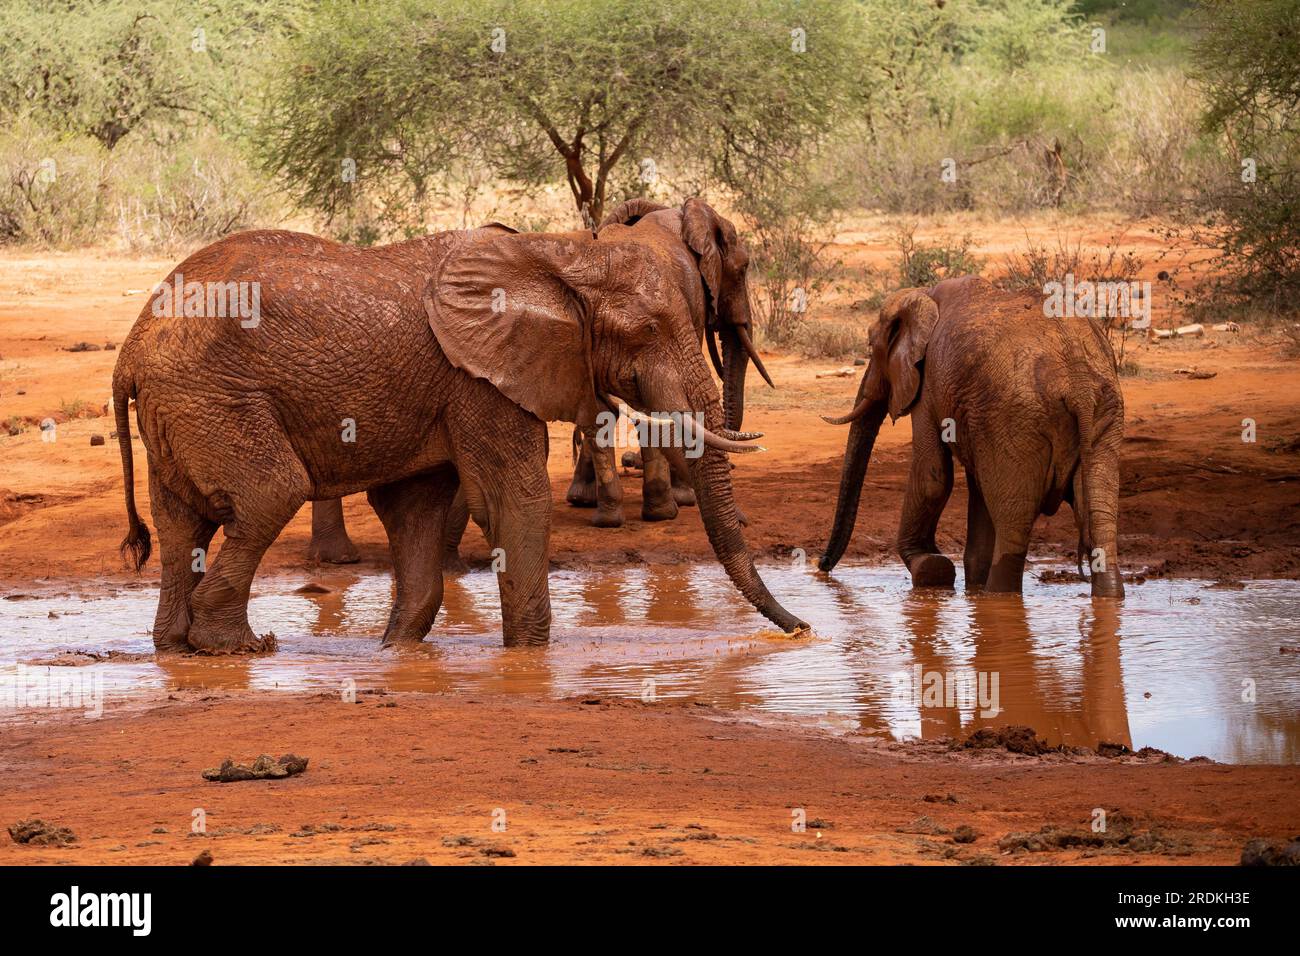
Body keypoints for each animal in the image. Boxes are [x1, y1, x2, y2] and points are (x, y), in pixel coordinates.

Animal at [113, 225, 807, 654]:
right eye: (650, 330)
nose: (801, 631)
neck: (558, 256)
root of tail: (129, 350)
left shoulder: (451, 388)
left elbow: (416, 511)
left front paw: (398, 650)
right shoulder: (480, 380)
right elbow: (513, 503)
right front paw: (528, 658)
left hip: (184, 408)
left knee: (182, 524)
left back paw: (178, 647)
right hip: (216, 398)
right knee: (269, 493)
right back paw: (237, 646)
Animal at [817, 276, 1125, 598]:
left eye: (870, 345)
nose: (822, 564)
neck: (923, 295)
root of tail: (1079, 386)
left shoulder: (929, 384)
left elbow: (932, 476)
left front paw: (929, 566)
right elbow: (975, 488)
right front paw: (965, 585)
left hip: (1018, 420)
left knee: (1014, 523)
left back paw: (999, 596)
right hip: (1101, 415)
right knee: (1101, 516)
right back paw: (1108, 595)